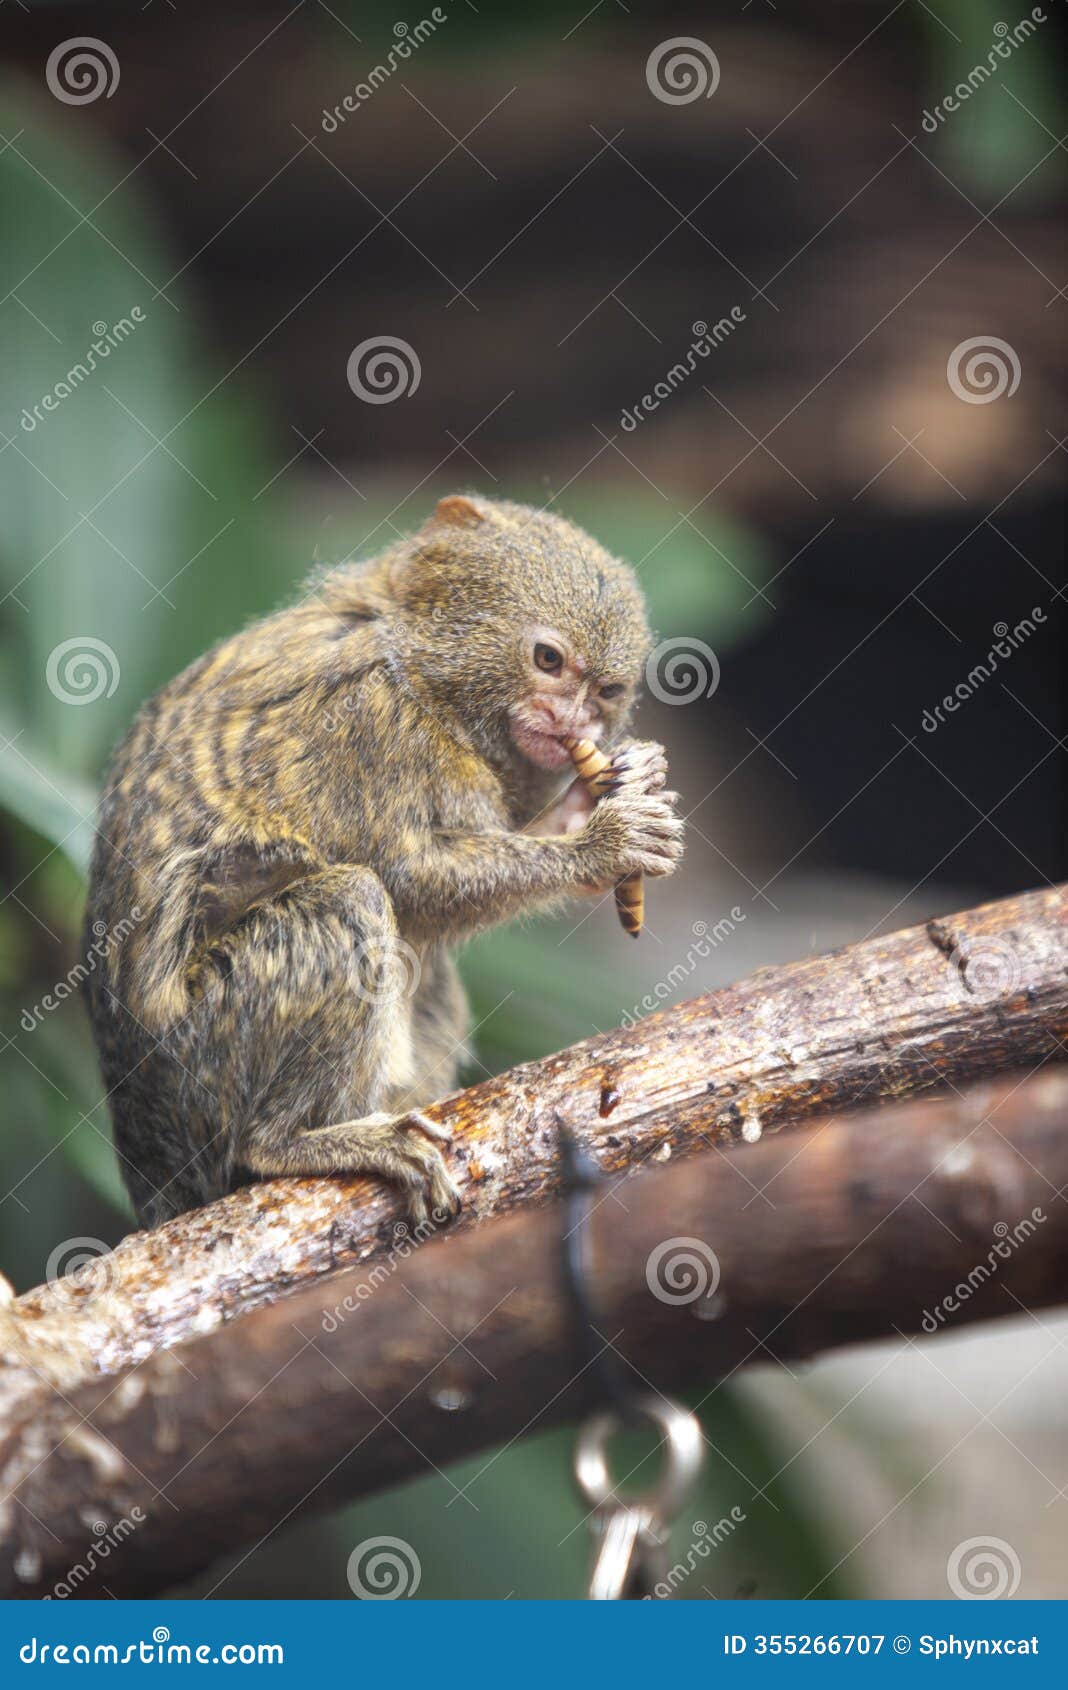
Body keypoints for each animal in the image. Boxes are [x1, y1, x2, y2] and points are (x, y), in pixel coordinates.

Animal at [81, 495, 684, 1229]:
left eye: (606, 691)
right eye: (548, 660)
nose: (573, 724)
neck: (421, 674)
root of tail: (154, 1171)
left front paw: (608, 790)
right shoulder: (371, 723)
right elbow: (412, 881)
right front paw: (601, 846)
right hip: (205, 1068)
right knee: (352, 901)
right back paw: (292, 1143)